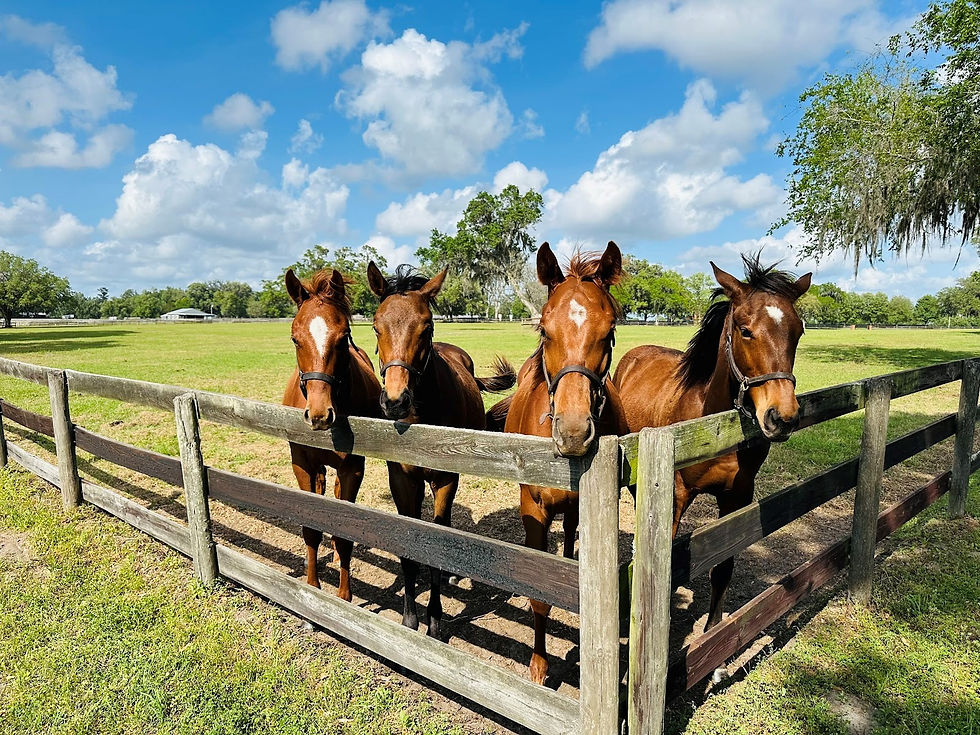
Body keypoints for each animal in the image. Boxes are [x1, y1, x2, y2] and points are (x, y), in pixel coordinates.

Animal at [282, 268, 382, 600]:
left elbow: (343, 530)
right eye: (295, 338)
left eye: (342, 337)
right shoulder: (302, 465)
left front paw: (344, 596)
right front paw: (312, 587)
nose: (320, 414)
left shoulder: (352, 468)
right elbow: (312, 527)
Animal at [366, 262, 516, 639]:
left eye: (427, 326)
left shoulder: (445, 480)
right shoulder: (402, 481)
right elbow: (409, 549)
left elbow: (438, 544)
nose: (395, 401)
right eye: (375, 326)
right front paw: (410, 619)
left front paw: (434, 620)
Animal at [502, 241, 629, 685]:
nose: (573, 434)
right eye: (544, 329)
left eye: (610, 332)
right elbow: (540, 596)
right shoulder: (533, 507)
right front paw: (539, 664)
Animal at [613, 253, 811, 630]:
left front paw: (713, 629)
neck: (710, 426)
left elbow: (723, 566)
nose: (782, 417)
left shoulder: (737, 495)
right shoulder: (675, 497)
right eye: (745, 330)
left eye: (798, 331)